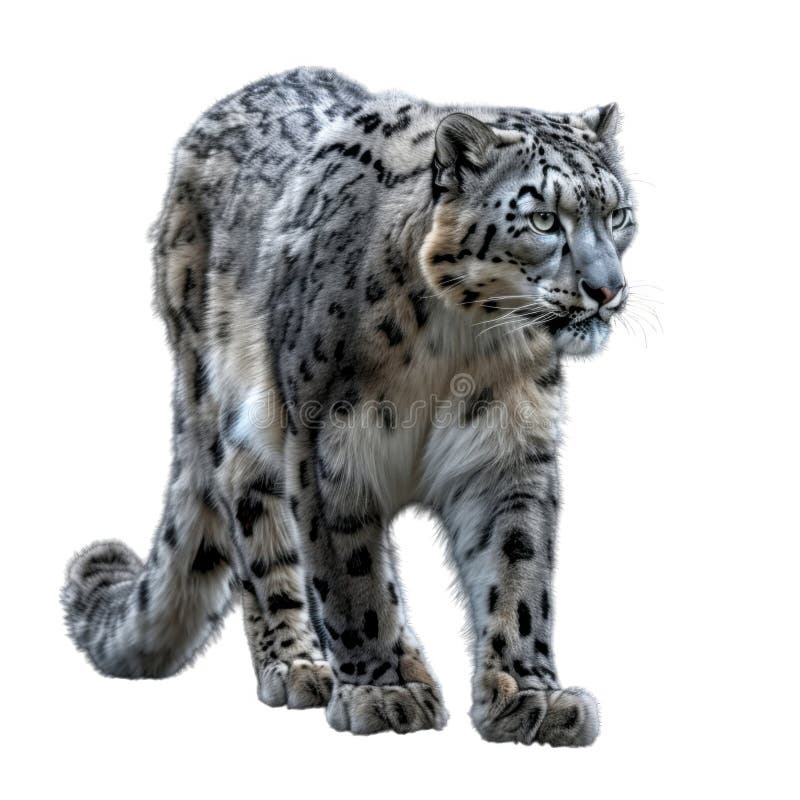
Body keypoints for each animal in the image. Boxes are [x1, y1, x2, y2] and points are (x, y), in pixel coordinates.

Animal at [62, 67, 636, 746]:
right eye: (544, 219)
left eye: (619, 213)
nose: (608, 290)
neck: (463, 347)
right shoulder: (331, 446)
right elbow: (351, 574)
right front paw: (385, 691)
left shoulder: (508, 452)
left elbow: (519, 569)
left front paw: (531, 696)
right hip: (232, 413)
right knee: (258, 535)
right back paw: (299, 666)